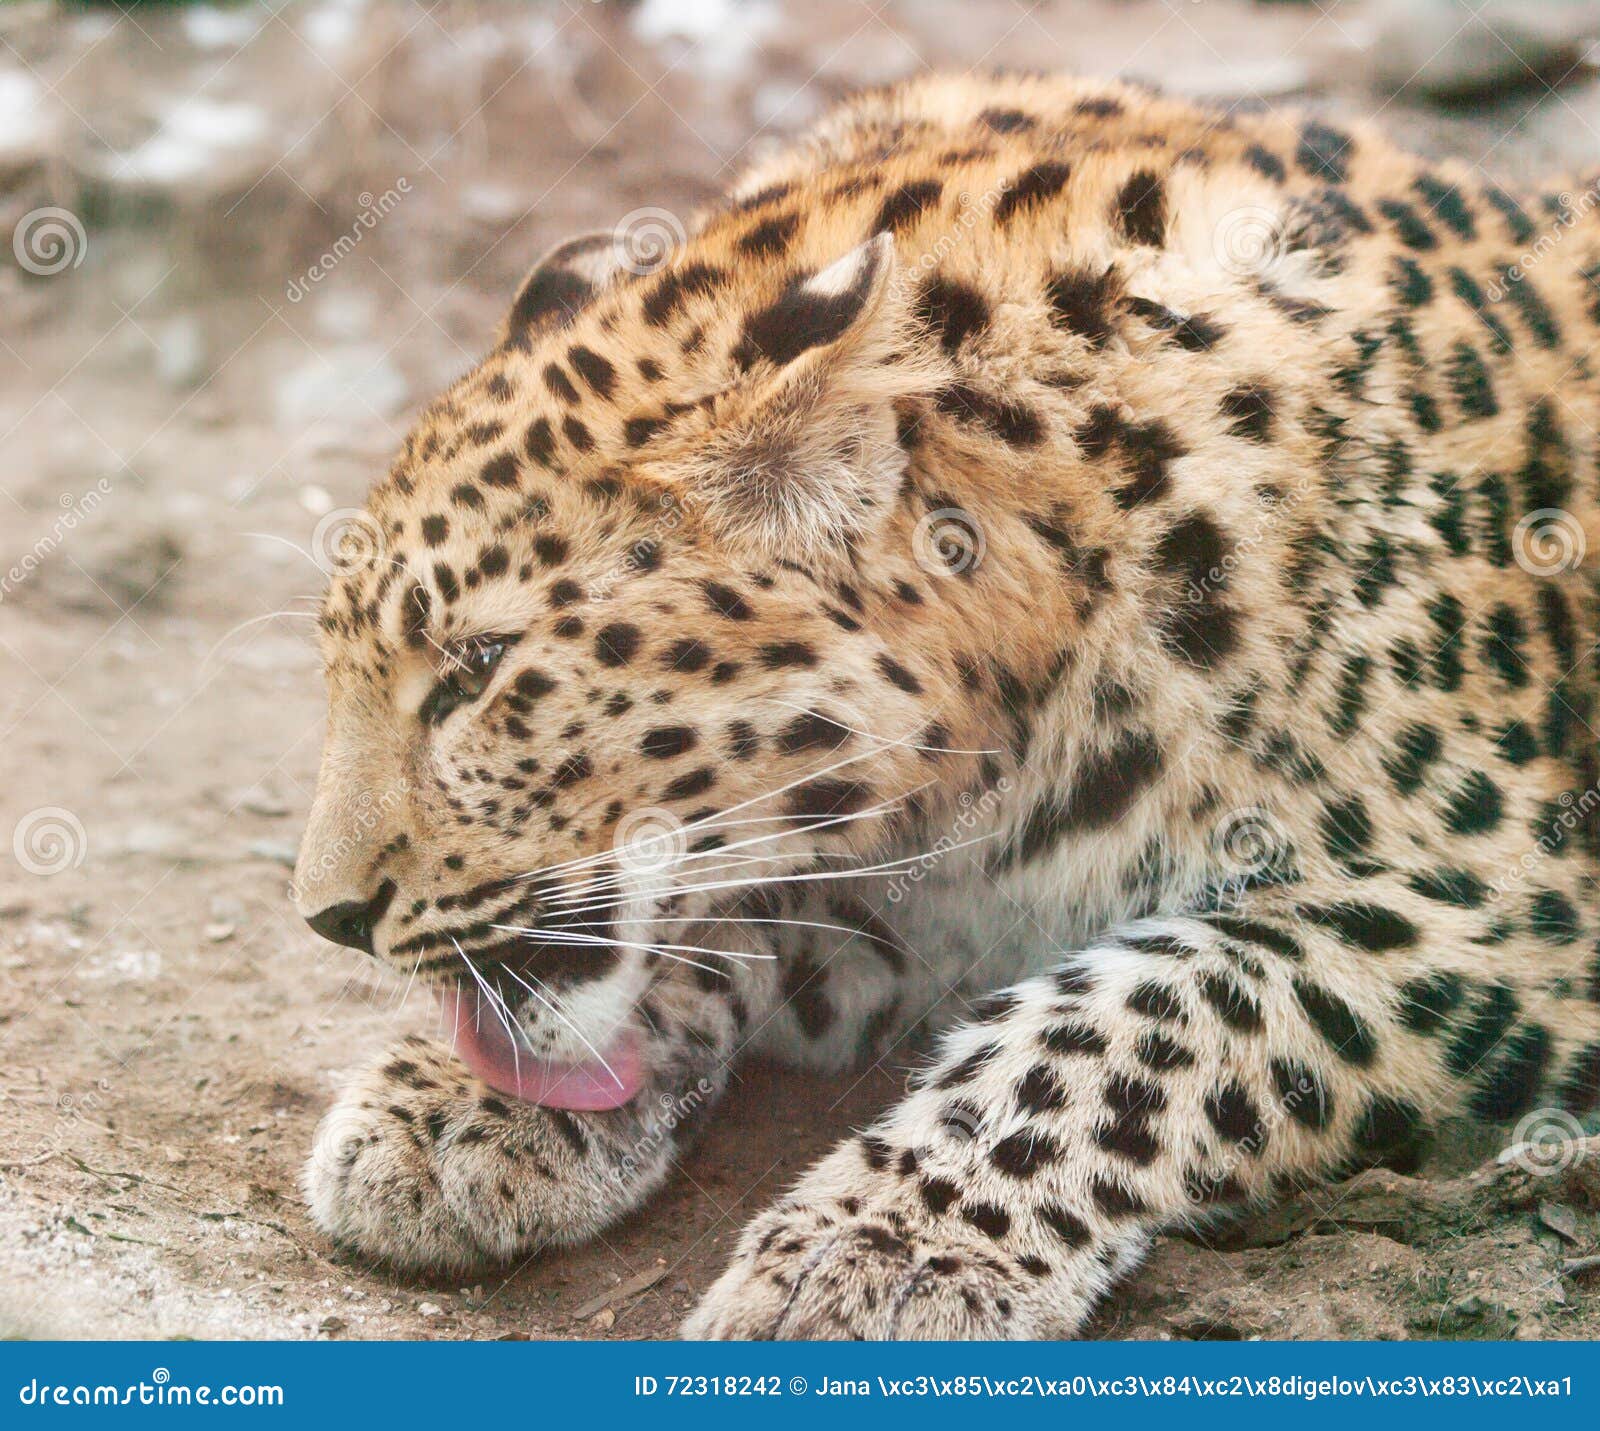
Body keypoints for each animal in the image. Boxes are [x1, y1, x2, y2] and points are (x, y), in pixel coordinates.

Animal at [292, 71, 1600, 1340]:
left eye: (478, 668)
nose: (328, 921)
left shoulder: (1494, 899)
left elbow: (1137, 1017)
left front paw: (879, 1248)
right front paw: (457, 1103)